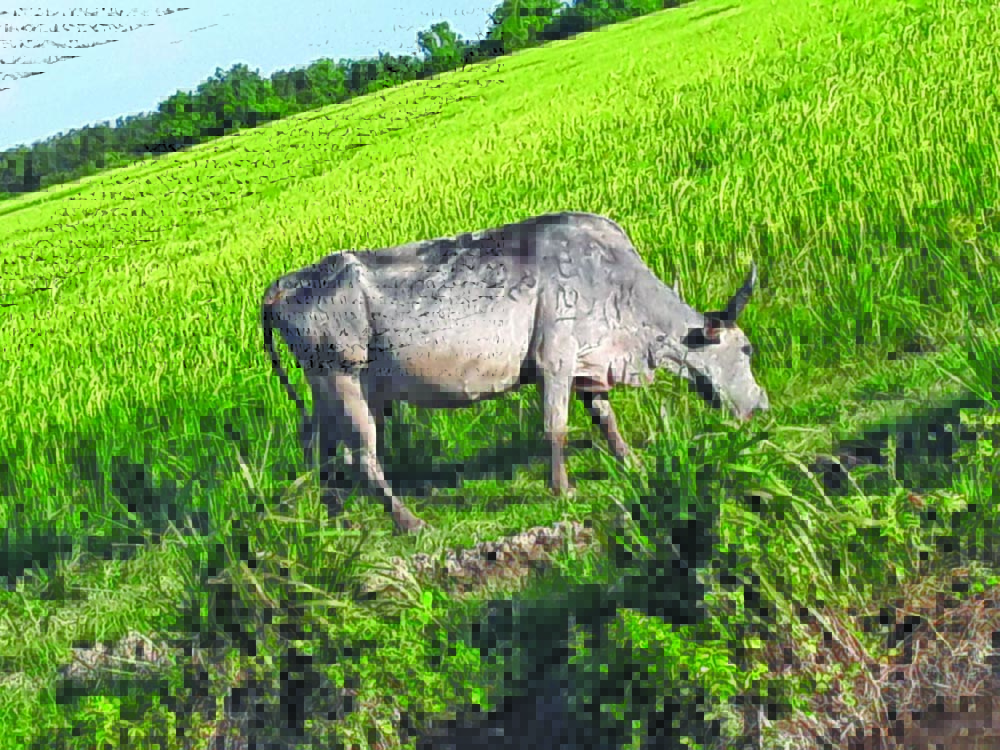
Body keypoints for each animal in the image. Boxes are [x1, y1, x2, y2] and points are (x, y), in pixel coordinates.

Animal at [261, 212, 768, 533]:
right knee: (361, 457)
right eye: (746, 348)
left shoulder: (587, 364)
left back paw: (337, 520)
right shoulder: (555, 358)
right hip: (342, 378)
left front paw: (631, 461)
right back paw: (409, 522)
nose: (761, 406)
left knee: (319, 451)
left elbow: (605, 418)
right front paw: (562, 489)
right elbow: (556, 427)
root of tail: (281, 284)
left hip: (329, 389)